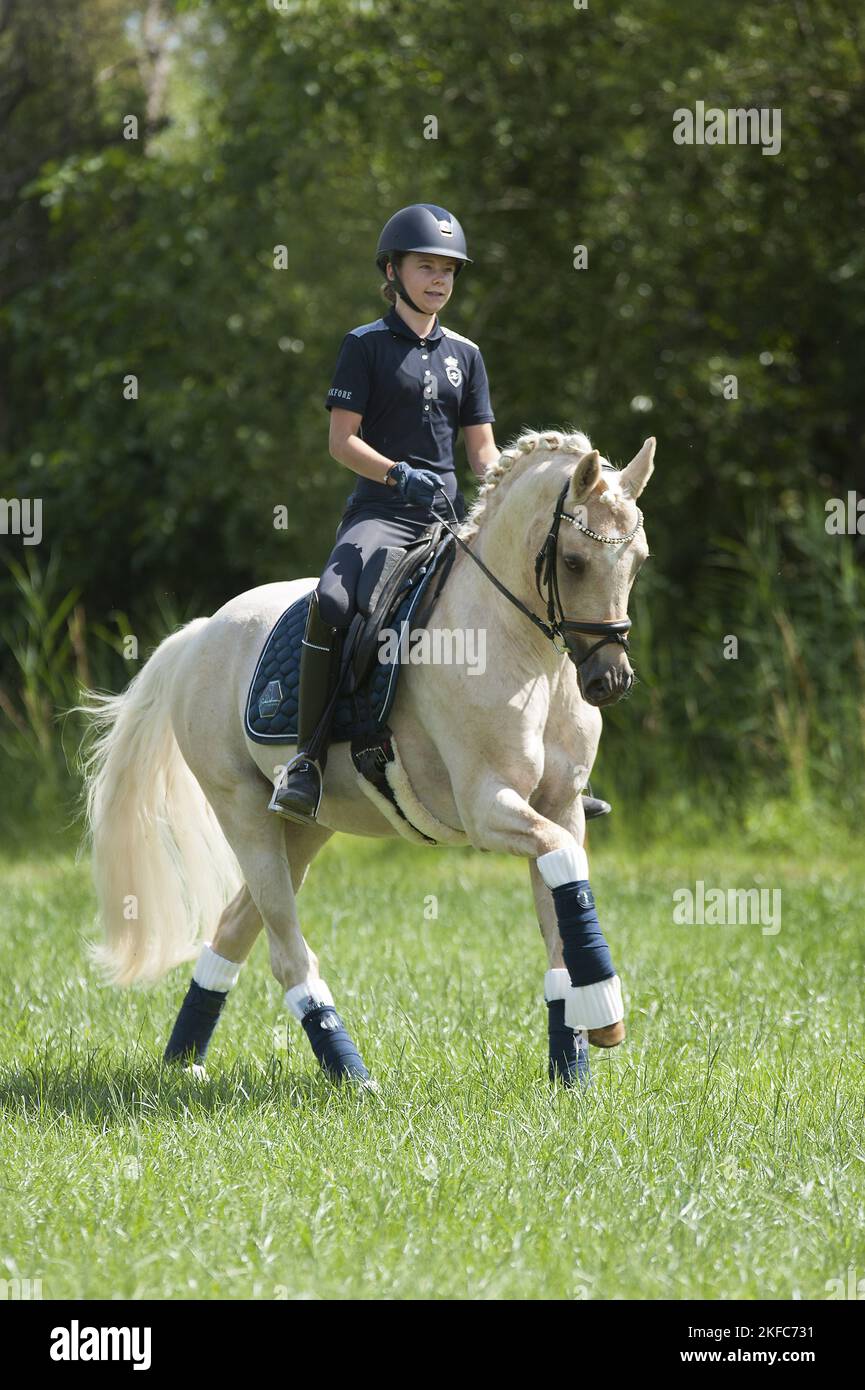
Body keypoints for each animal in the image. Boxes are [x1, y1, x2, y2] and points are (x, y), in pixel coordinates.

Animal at [79, 429, 655, 1089]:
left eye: (638, 560)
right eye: (574, 562)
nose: (609, 680)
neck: (526, 654)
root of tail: (197, 633)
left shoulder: (561, 807)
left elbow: (562, 914)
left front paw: (575, 1063)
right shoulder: (488, 808)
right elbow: (561, 872)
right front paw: (605, 1015)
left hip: (304, 829)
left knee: (234, 928)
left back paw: (182, 1063)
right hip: (242, 811)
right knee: (286, 953)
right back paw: (350, 1075)